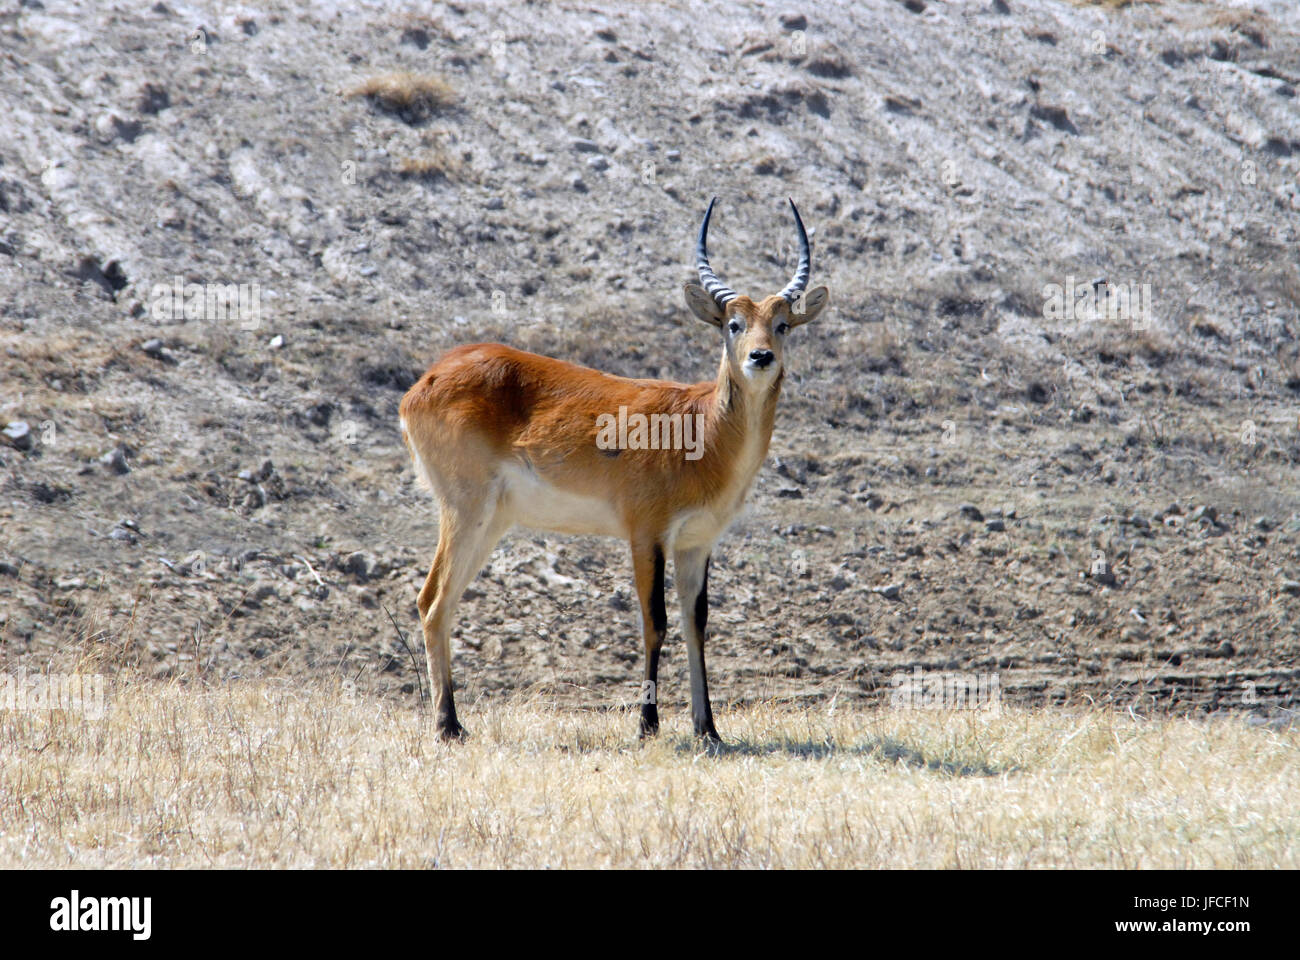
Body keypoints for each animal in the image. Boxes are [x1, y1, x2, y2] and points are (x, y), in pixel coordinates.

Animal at [399, 198, 830, 741]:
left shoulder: (697, 542)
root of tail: (425, 381)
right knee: (433, 601)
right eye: (732, 323)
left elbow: (696, 623)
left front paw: (708, 730)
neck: (700, 429)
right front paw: (647, 724)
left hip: (491, 521)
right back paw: (447, 725)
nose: (760, 356)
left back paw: (454, 722)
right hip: (464, 510)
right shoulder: (646, 534)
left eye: (783, 324)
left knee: (440, 600)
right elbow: (655, 620)